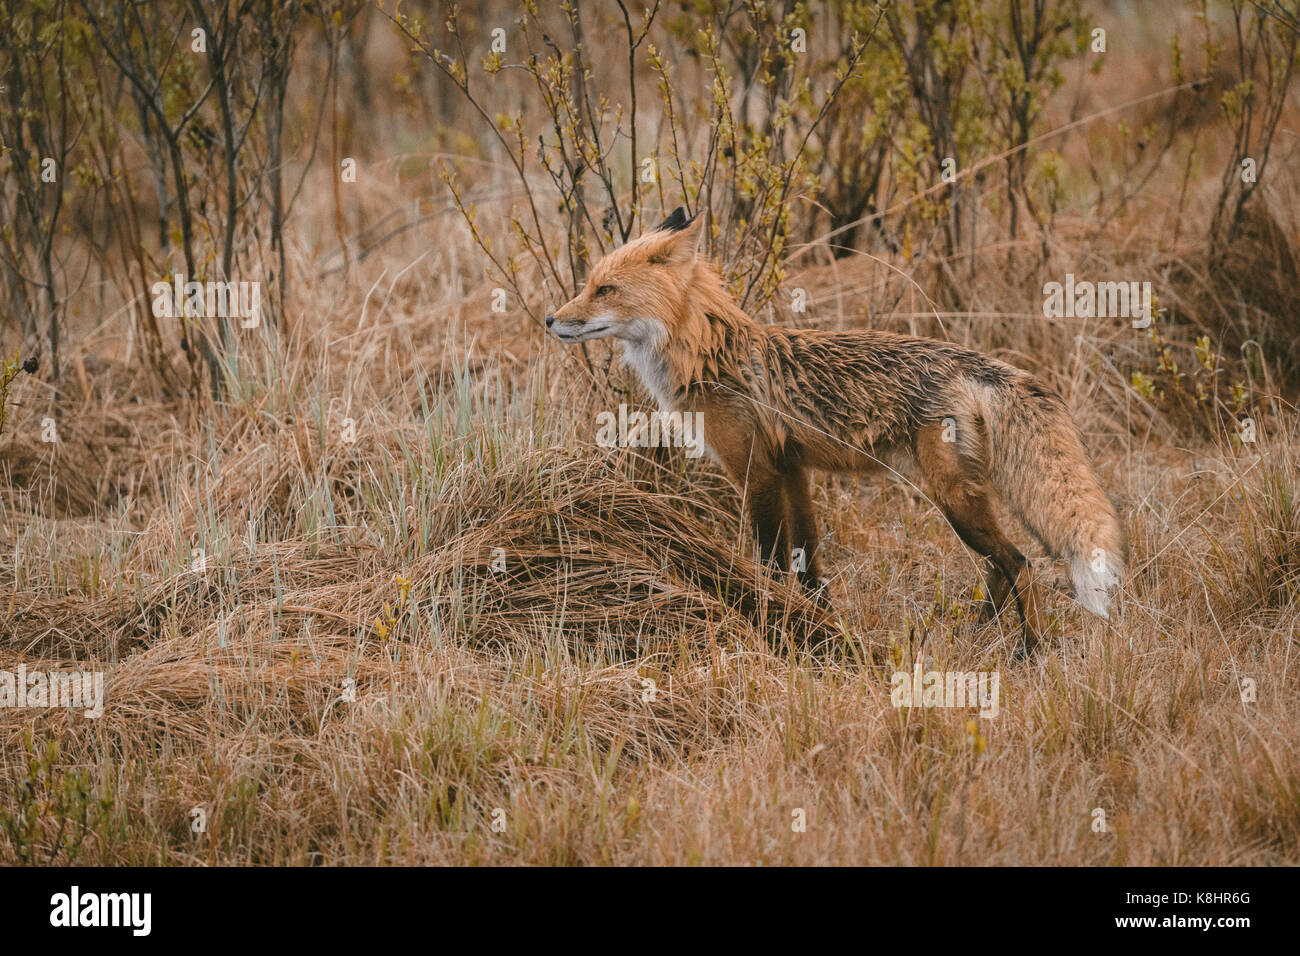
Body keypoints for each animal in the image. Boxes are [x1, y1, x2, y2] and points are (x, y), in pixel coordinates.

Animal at [546, 207, 1124, 653]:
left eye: (605, 289)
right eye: (588, 285)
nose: (550, 320)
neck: (708, 357)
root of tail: (977, 361)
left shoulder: (756, 471)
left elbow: (771, 560)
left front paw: (776, 619)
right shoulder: (792, 468)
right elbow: (809, 564)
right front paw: (817, 624)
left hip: (954, 502)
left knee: (1019, 565)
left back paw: (1031, 649)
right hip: (963, 501)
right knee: (1000, 570)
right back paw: (976, 636)